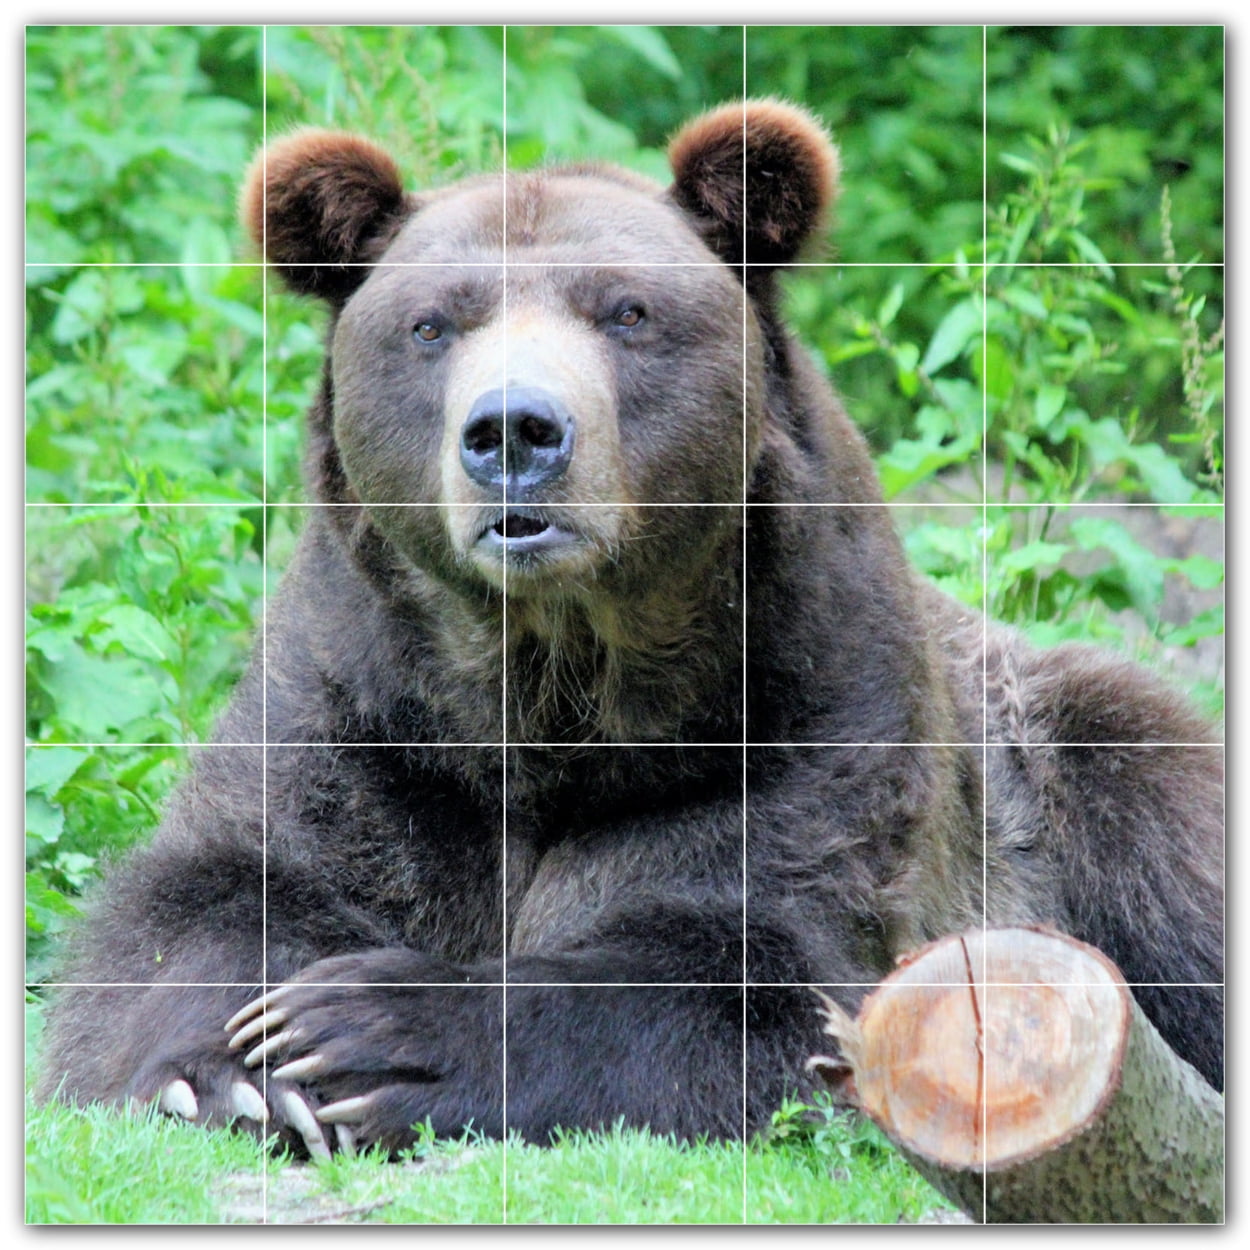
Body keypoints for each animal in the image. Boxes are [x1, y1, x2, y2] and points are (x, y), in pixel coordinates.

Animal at [37, 100, 1223, 1159]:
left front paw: (375, 1032)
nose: (515, 431)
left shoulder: (802, 714)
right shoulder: (361, 706)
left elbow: (750, 964)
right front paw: (235, 1073)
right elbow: (210, 891)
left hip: (1059, 752)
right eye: (431, 324)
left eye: (627, 311)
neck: (553, 685)